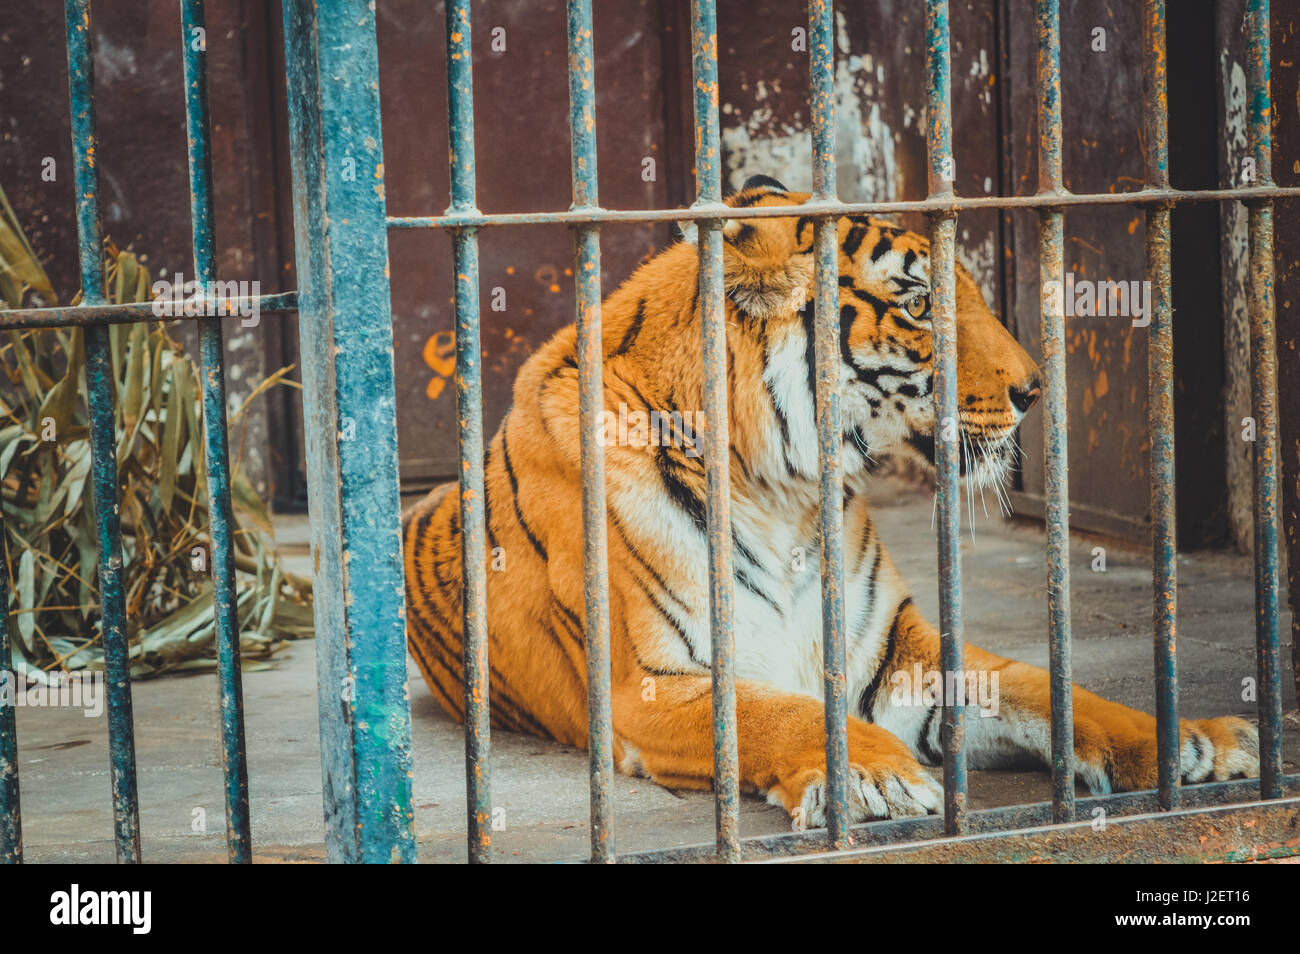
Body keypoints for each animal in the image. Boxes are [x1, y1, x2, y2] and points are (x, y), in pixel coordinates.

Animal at [402, 174, 1260, 825]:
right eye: (918, 306)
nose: (1033, 391)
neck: (780, 494)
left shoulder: (895, 655)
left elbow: (1052, 687)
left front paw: (1195, 741)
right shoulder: (651, 686)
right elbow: (785, 713)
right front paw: (877, 777)